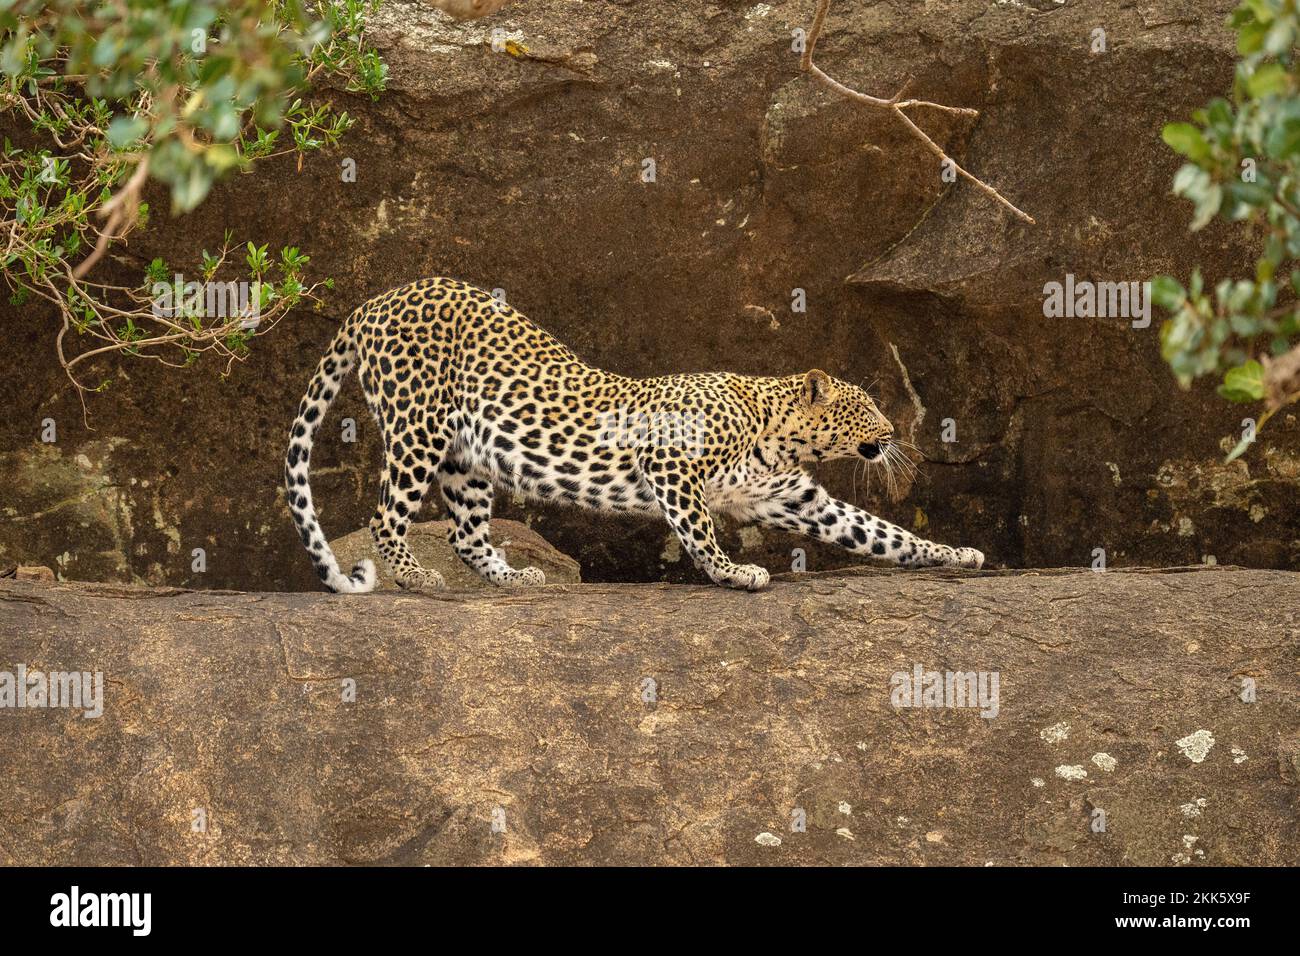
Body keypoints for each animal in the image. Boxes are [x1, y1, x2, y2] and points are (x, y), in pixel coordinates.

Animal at [285, 277, 985, 593]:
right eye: (862, 407)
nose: (890, 432)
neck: (773, 431)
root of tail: (377, 299)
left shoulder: (794, 498)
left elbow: (881, 533)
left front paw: (959, 554)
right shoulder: (670, 464)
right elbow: (699, 530)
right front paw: (734, 572)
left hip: (467, 459)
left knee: (464, 532)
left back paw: (512, 578)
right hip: (418, 427)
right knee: (384, 514)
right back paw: (413, 578)